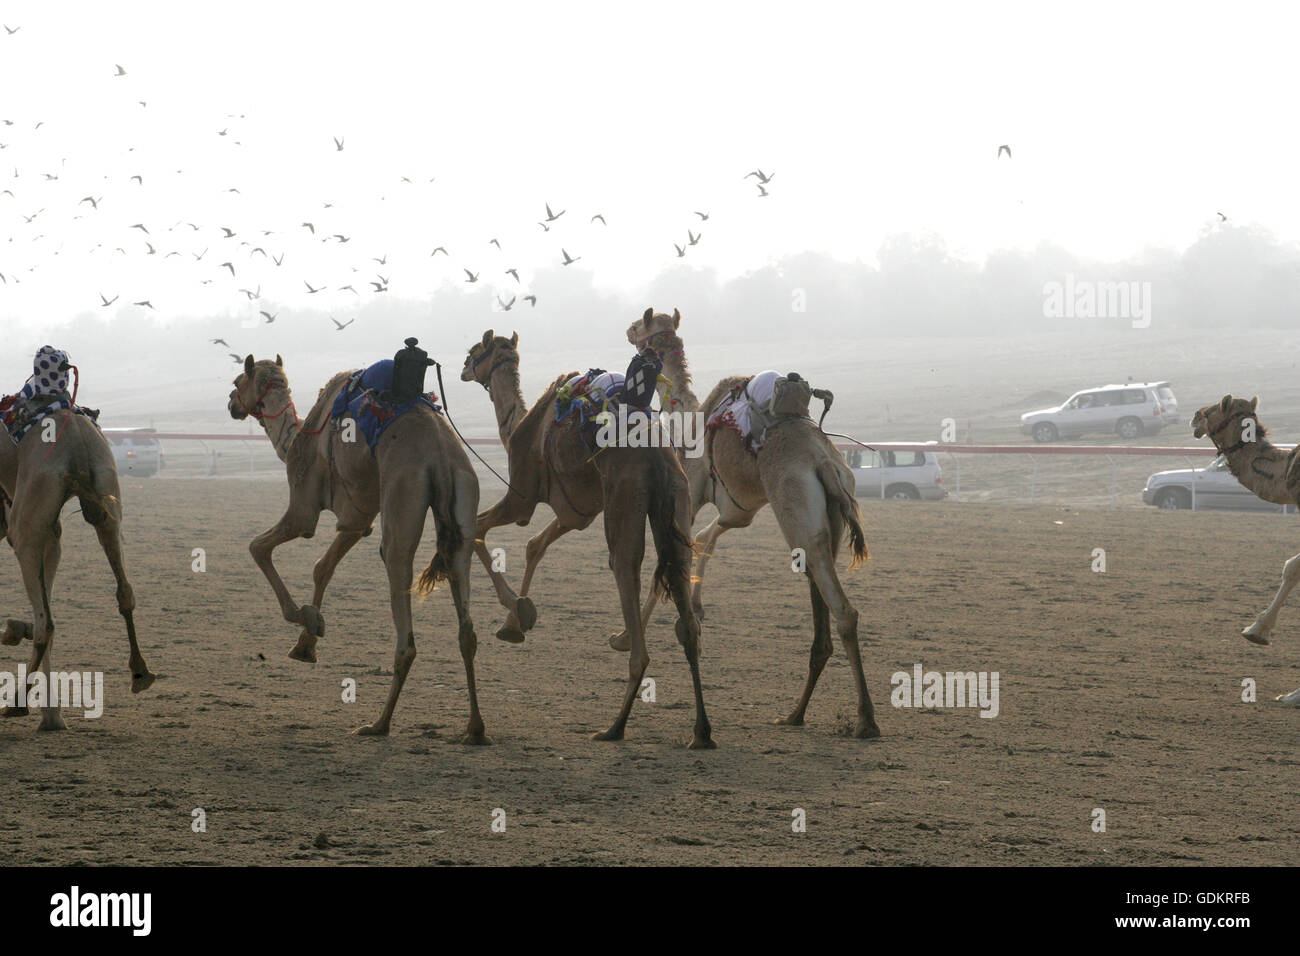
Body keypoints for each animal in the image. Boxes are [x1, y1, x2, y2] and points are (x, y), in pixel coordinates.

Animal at [0, 404, 154, 731]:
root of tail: (76, 438)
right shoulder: (52, 536)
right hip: (104, 500)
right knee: (124, 591)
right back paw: (140, 673)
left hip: (26, 528)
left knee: (46, 621)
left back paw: (18, 703)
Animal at [227, 354, 489, 740]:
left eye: (237, 382)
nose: (231, 404)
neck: (298, 436)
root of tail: (440, 458)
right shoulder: (359, 517)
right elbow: (322, 566)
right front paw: (307, 640)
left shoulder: (304, 507)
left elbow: (258, 547)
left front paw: (301, 617)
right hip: (464, 501)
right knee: (466, 627)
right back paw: (475, 728)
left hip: (402, 494)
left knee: (401, 595)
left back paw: (378, 724)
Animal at [460, 330, 713, 747]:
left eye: (476, 350)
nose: (464, 367)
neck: (518, 429)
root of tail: (656, 456)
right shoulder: (574, 513)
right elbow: (534, 546)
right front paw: (517, 621)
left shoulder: (522, 497)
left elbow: (481, 529)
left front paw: (515, 609)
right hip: (679, 501)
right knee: (684, 603)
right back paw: (702, 731)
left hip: (624, 500)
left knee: (624, 567)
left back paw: (615, 725)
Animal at [618, 308, 880, 738]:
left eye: (642, 326)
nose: (627, 329)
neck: (691, 417)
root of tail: (825, 462)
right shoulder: (738, 509)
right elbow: (707, 537)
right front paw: (697, 607)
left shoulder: (691, 492)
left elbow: (679, 550)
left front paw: (625, 635)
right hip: (829, 518)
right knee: (823, 596)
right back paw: (795, 714)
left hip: (795, 512)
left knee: (843, 609)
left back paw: (864, 720)